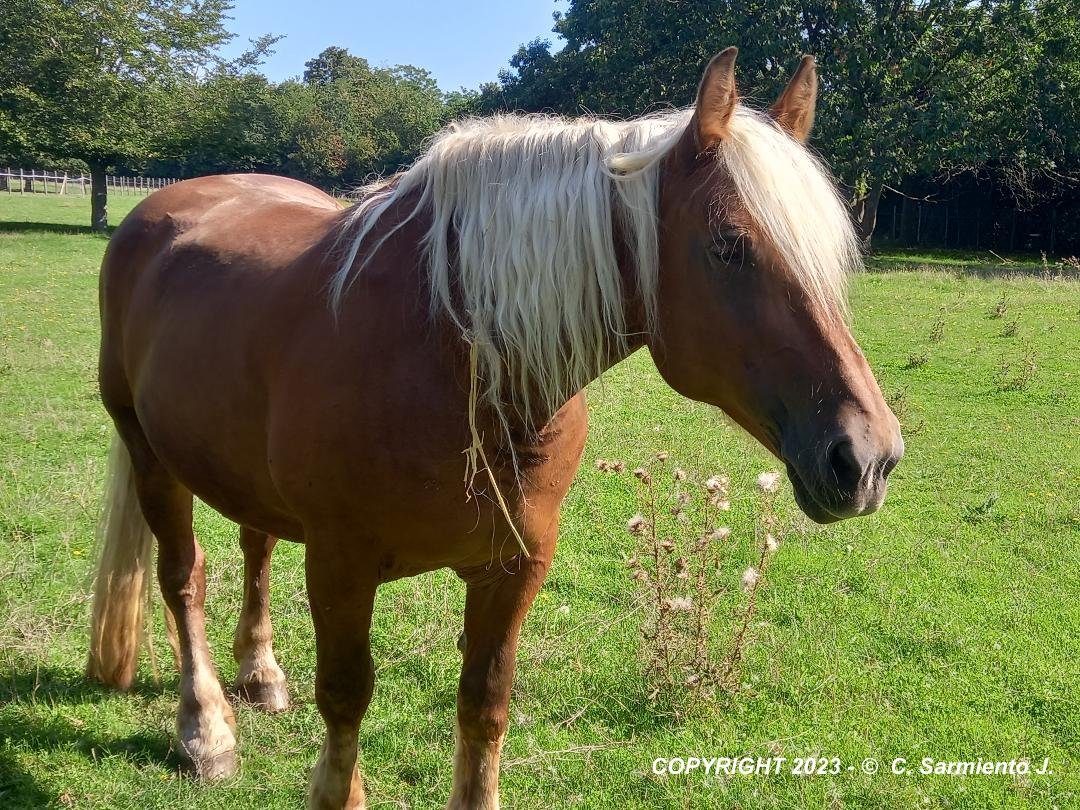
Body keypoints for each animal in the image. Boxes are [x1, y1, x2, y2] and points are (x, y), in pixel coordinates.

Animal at [85, 48, 902, 809]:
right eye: (730, 244)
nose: (867, 458)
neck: (457, 361)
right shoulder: (341, 563)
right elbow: (346, 698)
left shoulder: (516, 566)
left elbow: (485, 703)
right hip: (152, 456)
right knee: (182, 579)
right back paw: (206, 730)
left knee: (255, 548)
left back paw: (260, 675)